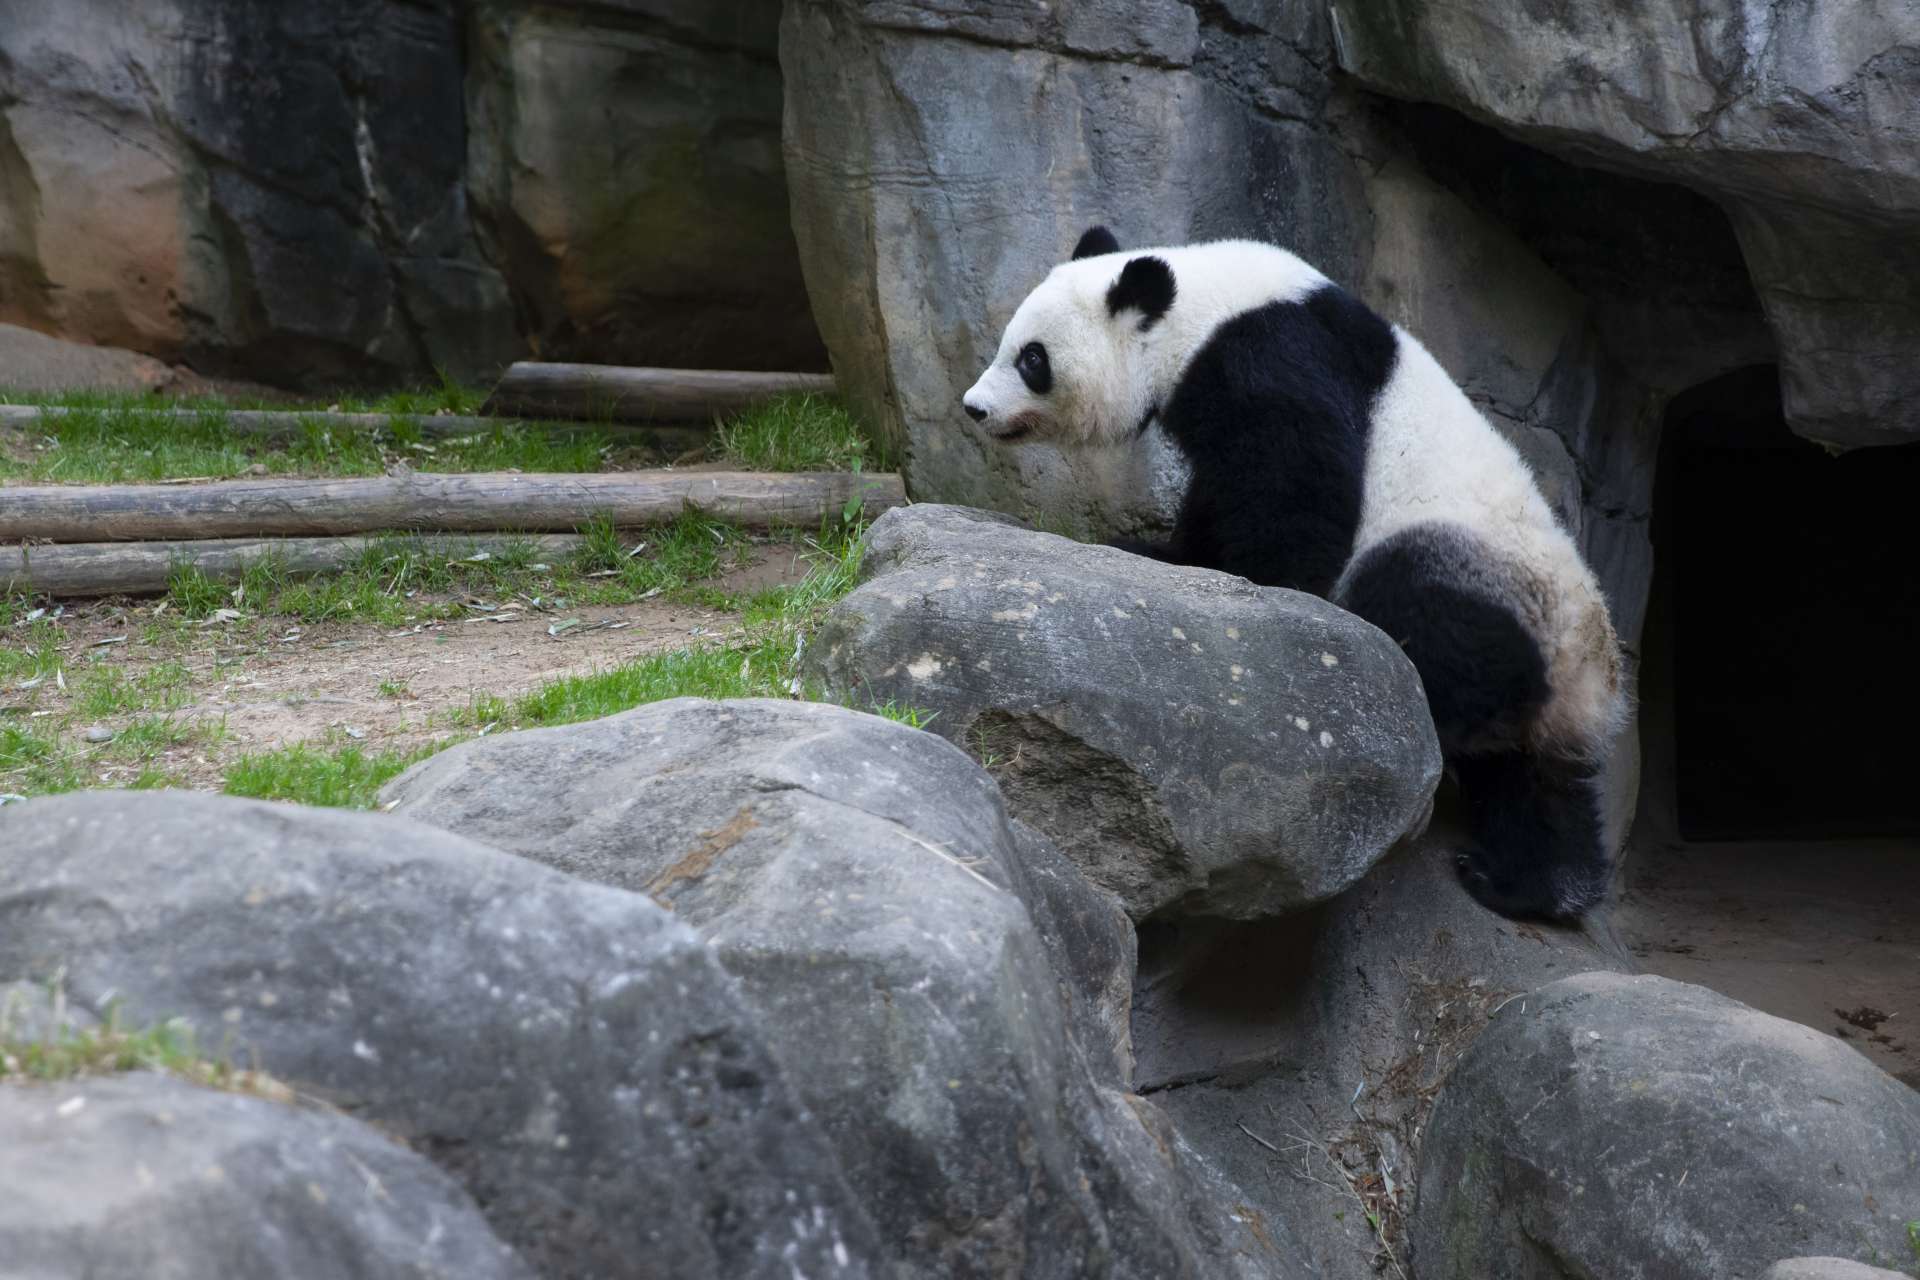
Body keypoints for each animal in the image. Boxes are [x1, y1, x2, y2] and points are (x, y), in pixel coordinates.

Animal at [961, 227, 1627, 922]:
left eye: (1032, 360)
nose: (974, 408)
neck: (1199, 309)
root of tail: (1586, 676)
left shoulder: (1270, 357)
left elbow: (1297, 483)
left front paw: (1245, 578)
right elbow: (1220, 490)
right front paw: (1171, 551)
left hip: (1476, 579)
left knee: (1427, 623)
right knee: (1538, 785)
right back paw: (1527, 885)